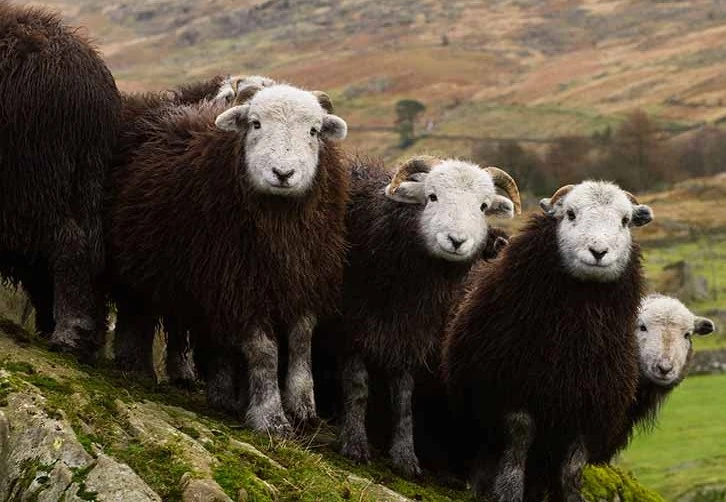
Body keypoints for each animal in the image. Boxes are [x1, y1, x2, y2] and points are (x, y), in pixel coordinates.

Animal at [106, 83, 349, 434]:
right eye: (255, 124)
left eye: (314, 131)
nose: (283, 173)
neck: (281, 225)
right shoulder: (240, 285)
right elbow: (265, 352)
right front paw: (271, 418)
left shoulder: (303, 280)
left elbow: (302, 342)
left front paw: (303, 409)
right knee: (138, 314)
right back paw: (136, 369)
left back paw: (220, 395)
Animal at [320, 155, 521, 477]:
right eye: (432, 196)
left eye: (483, 206)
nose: (456, 240)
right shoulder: (352, 323)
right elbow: (357, 385)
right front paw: (354, 443)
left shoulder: (412, 333)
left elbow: (404, 398)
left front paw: (405, 457)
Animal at [442, 181, 654, 501]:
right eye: (570, 213)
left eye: (625, 220)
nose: (598, 252)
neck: (574, 340)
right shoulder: (511, 386)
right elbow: (519, 438)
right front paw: (509, 490)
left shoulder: (589, 405)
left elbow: (574, 463)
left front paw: (572, 496)